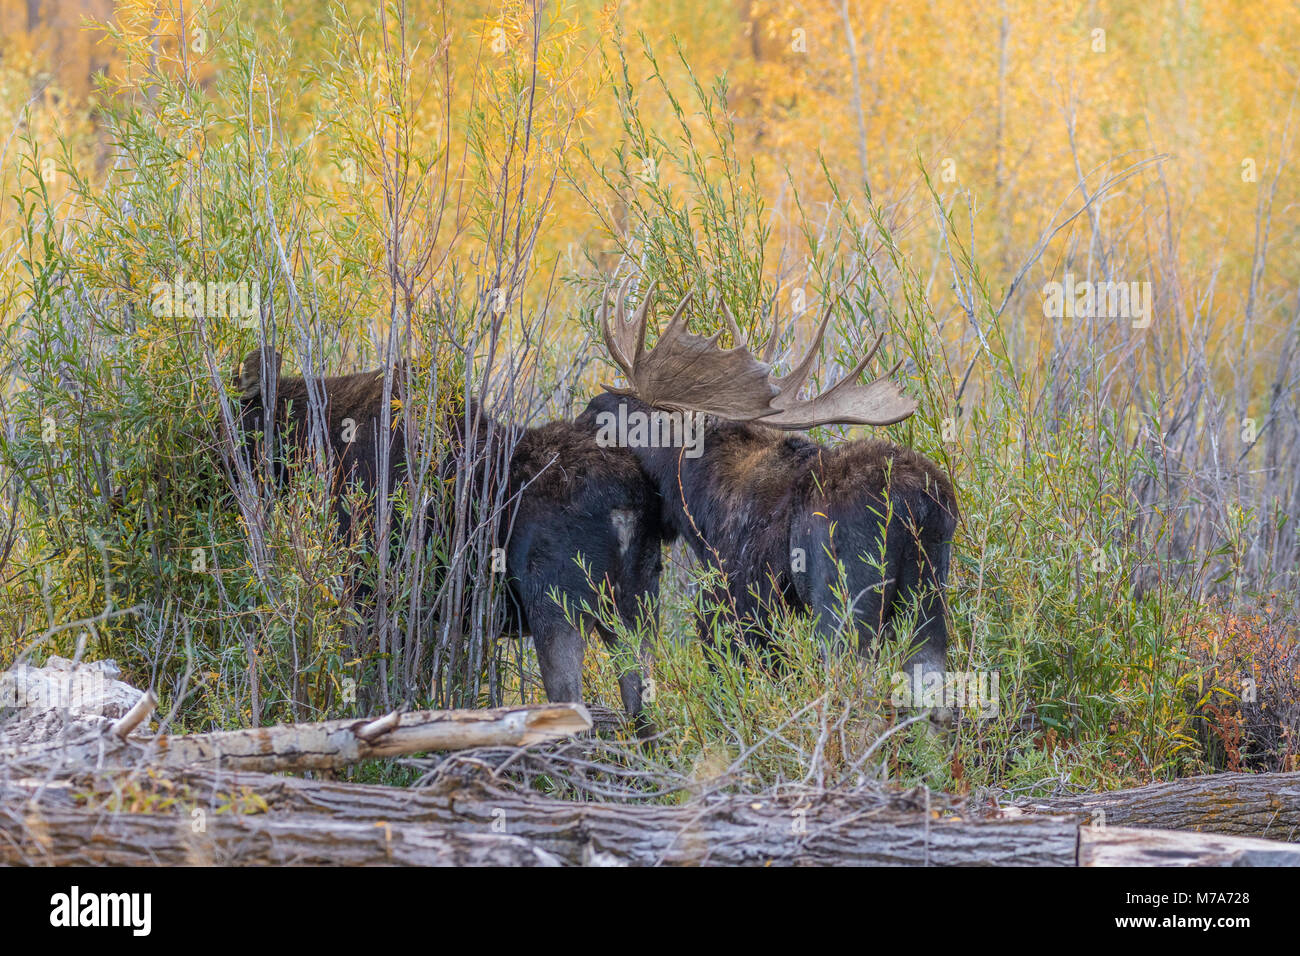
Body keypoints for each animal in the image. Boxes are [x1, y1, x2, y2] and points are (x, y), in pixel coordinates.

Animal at [223, 347, 667, 732]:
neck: (315, 445)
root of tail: (630, 503)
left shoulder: (370, 588)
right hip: (635, 605)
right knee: (645, 708)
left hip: (558, 604)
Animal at [577, 278, 958, 696]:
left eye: (599, 416)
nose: (579, 417)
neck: (697, 500)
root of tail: (918, 505)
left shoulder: (732, 613)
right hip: (928, 604)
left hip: (844, 608)